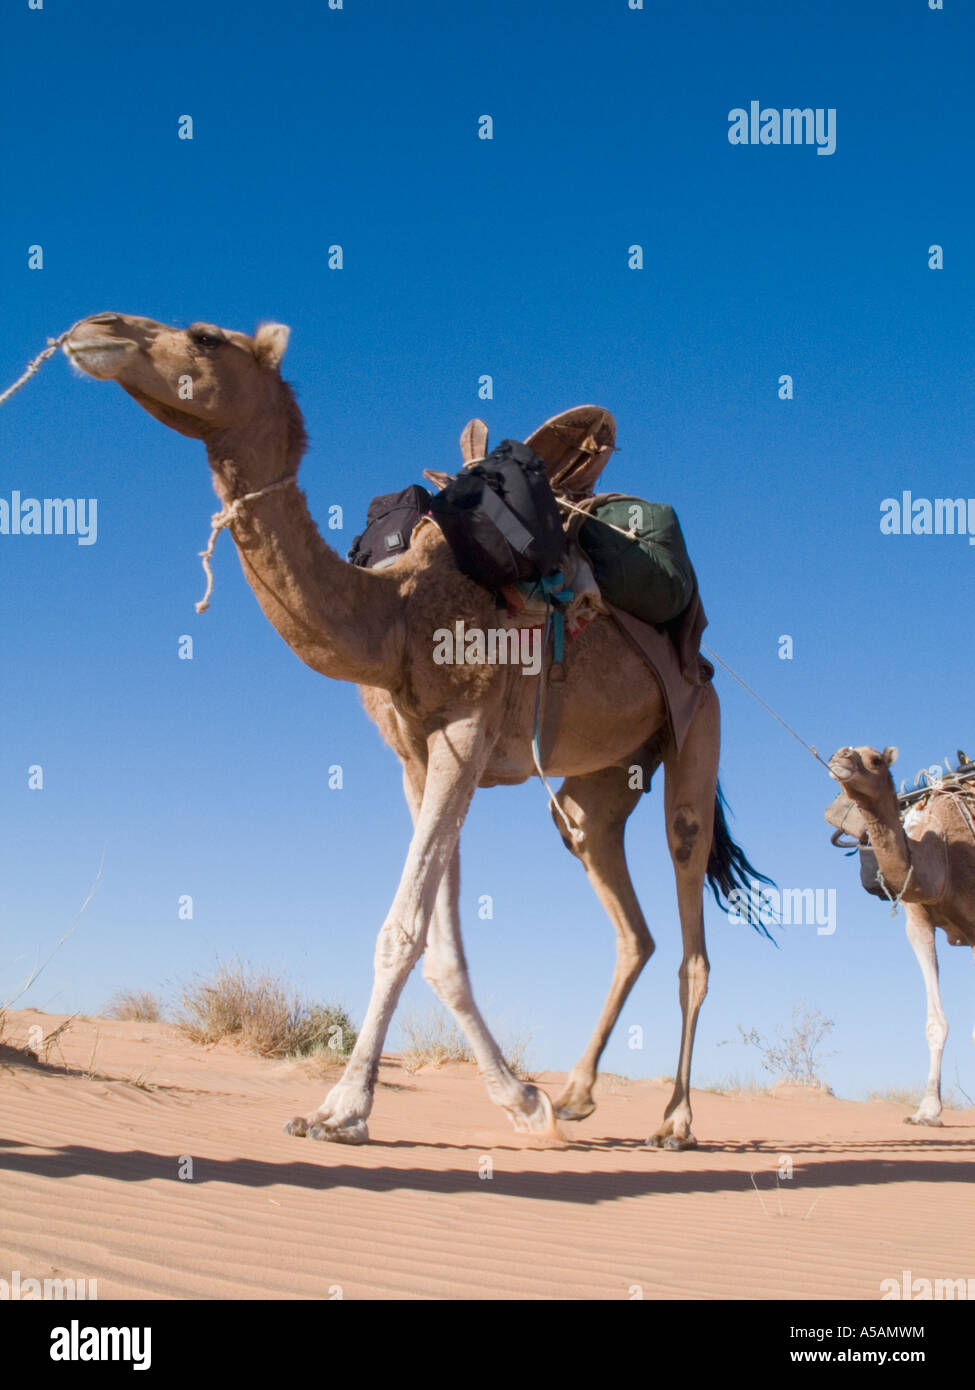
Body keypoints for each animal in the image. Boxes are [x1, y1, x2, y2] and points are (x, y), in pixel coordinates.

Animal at [63, 310, 767, 1149]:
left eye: (204, 336)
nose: (92, 329)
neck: (394, 613)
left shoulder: (464, 732)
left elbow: (401, 931)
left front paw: (340, 1110)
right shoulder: (416, 755)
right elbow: (439, 946)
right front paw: (521, 1100)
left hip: (697, 732)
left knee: (690, 909)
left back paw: (676, 1120)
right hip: (600, 783)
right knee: (624, 908)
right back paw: (575, 1095)